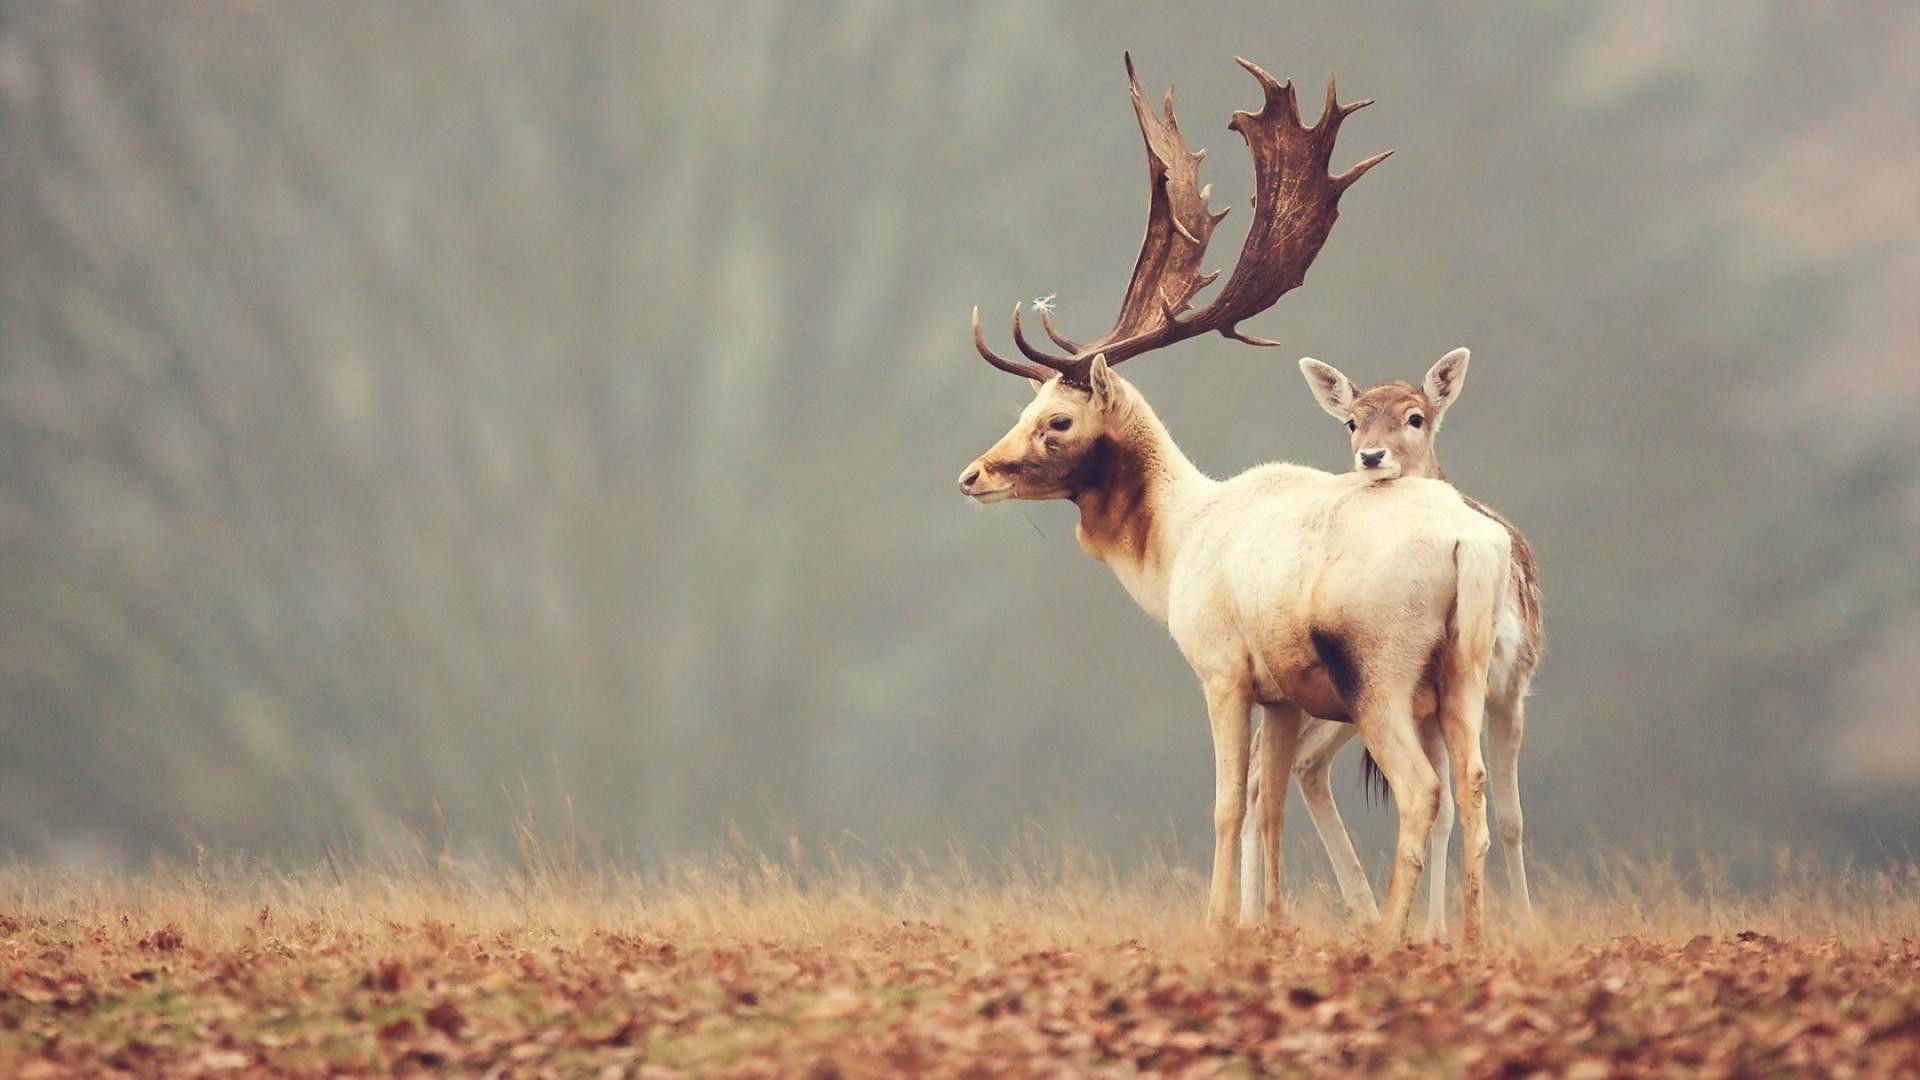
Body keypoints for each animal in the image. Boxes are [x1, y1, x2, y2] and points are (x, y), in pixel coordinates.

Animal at [955, 54, 1511, 946]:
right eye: (1025, 406)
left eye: (1057, 420)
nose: (973, 474)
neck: (1176, 546)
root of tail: (1472, 544)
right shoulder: (1281, 692)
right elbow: (1268, 807)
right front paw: (1269, 923)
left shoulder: (1220, 667)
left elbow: (1225, 804)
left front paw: (1219, 921)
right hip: (1464, 669)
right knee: (1476, 791)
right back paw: (1469, 938)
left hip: (1380, 668)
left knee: (1422, 790)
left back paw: (1387, 935)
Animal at [1239, 350, 1543, 935]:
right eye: (1351, 421)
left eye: (1415, 417)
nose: (1371, 456)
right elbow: (1454, 809)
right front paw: (1437, 930)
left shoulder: (1513, 685)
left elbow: (1511, 817)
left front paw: (1517, 924)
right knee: (1268, 770)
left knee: (1293, 767)